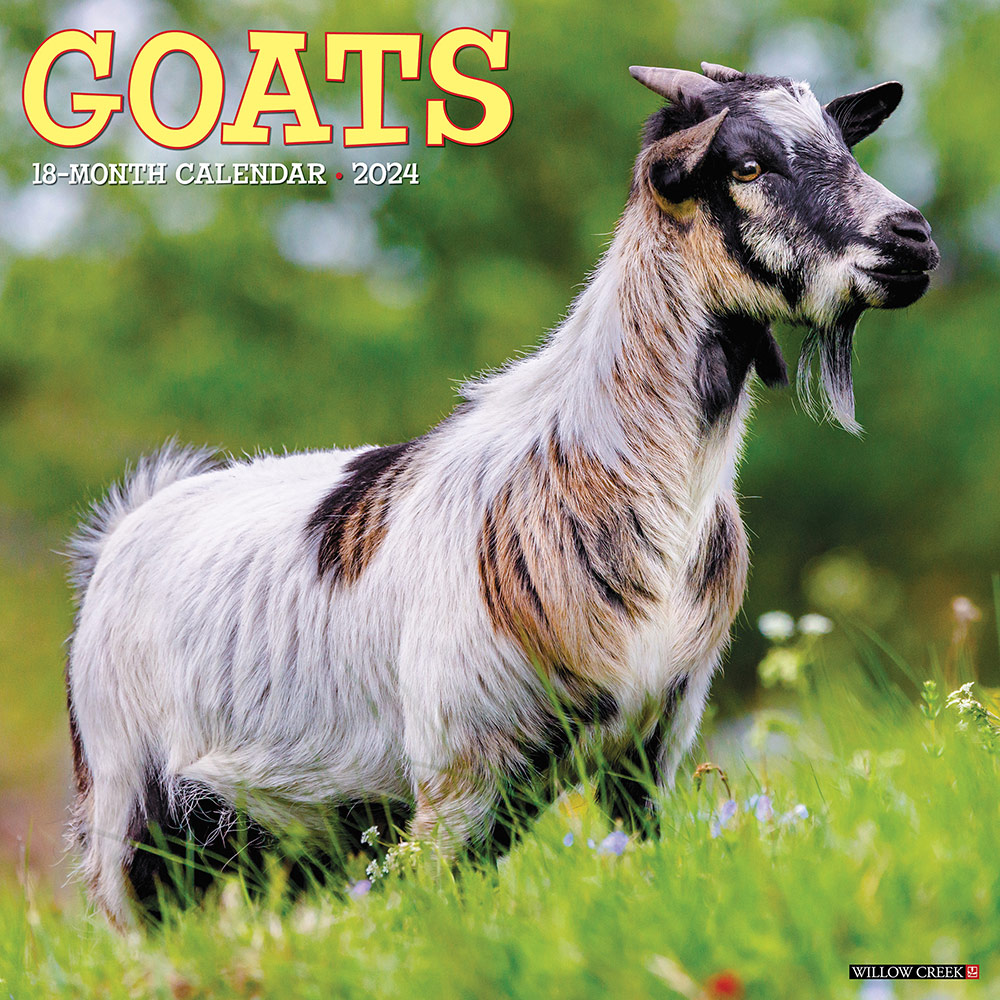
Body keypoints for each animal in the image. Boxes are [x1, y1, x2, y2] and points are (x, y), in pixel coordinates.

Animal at [66, 61, 939, 925]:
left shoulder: (650, 747)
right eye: (747, 166)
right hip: (130, 814)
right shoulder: (456, 772)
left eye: (842, 143)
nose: (914, 237)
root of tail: (122, 529)